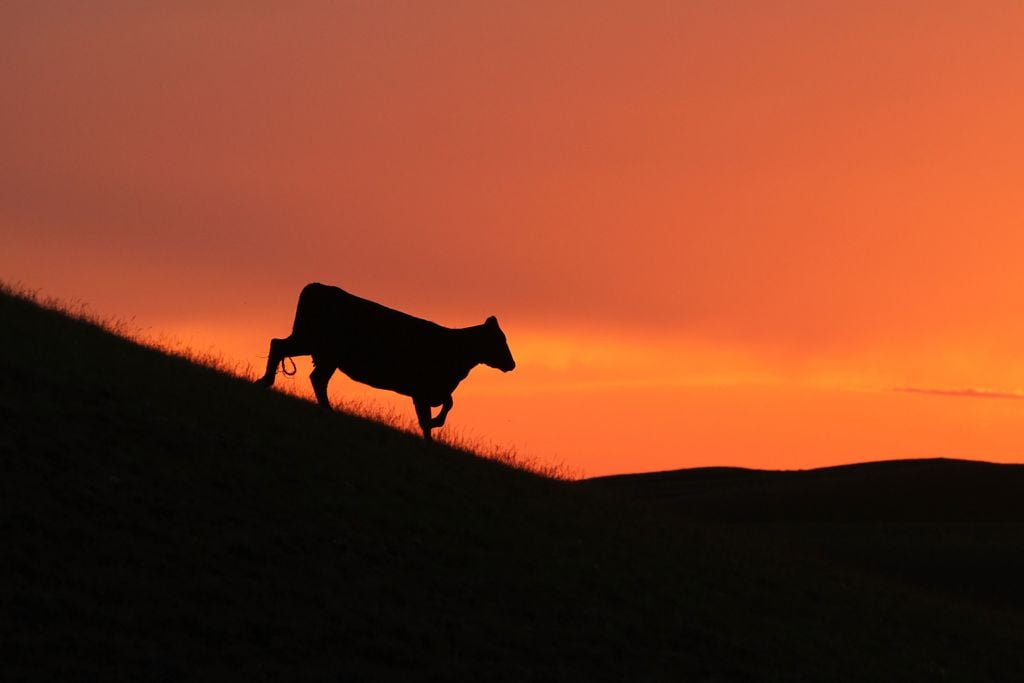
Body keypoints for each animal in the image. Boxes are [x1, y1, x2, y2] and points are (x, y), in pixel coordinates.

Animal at [256, 283, 516, 440]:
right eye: (499, 340)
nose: (512, 364)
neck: (457, 349)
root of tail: (318, 286)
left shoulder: (433, 390)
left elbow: (447, 404)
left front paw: (433, 428)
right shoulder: (422, 390)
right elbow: (430, 415)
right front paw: (432, 429)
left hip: (316, 347)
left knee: (286, 351)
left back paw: (270, 383)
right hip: (316, 344)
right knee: (303, 366)